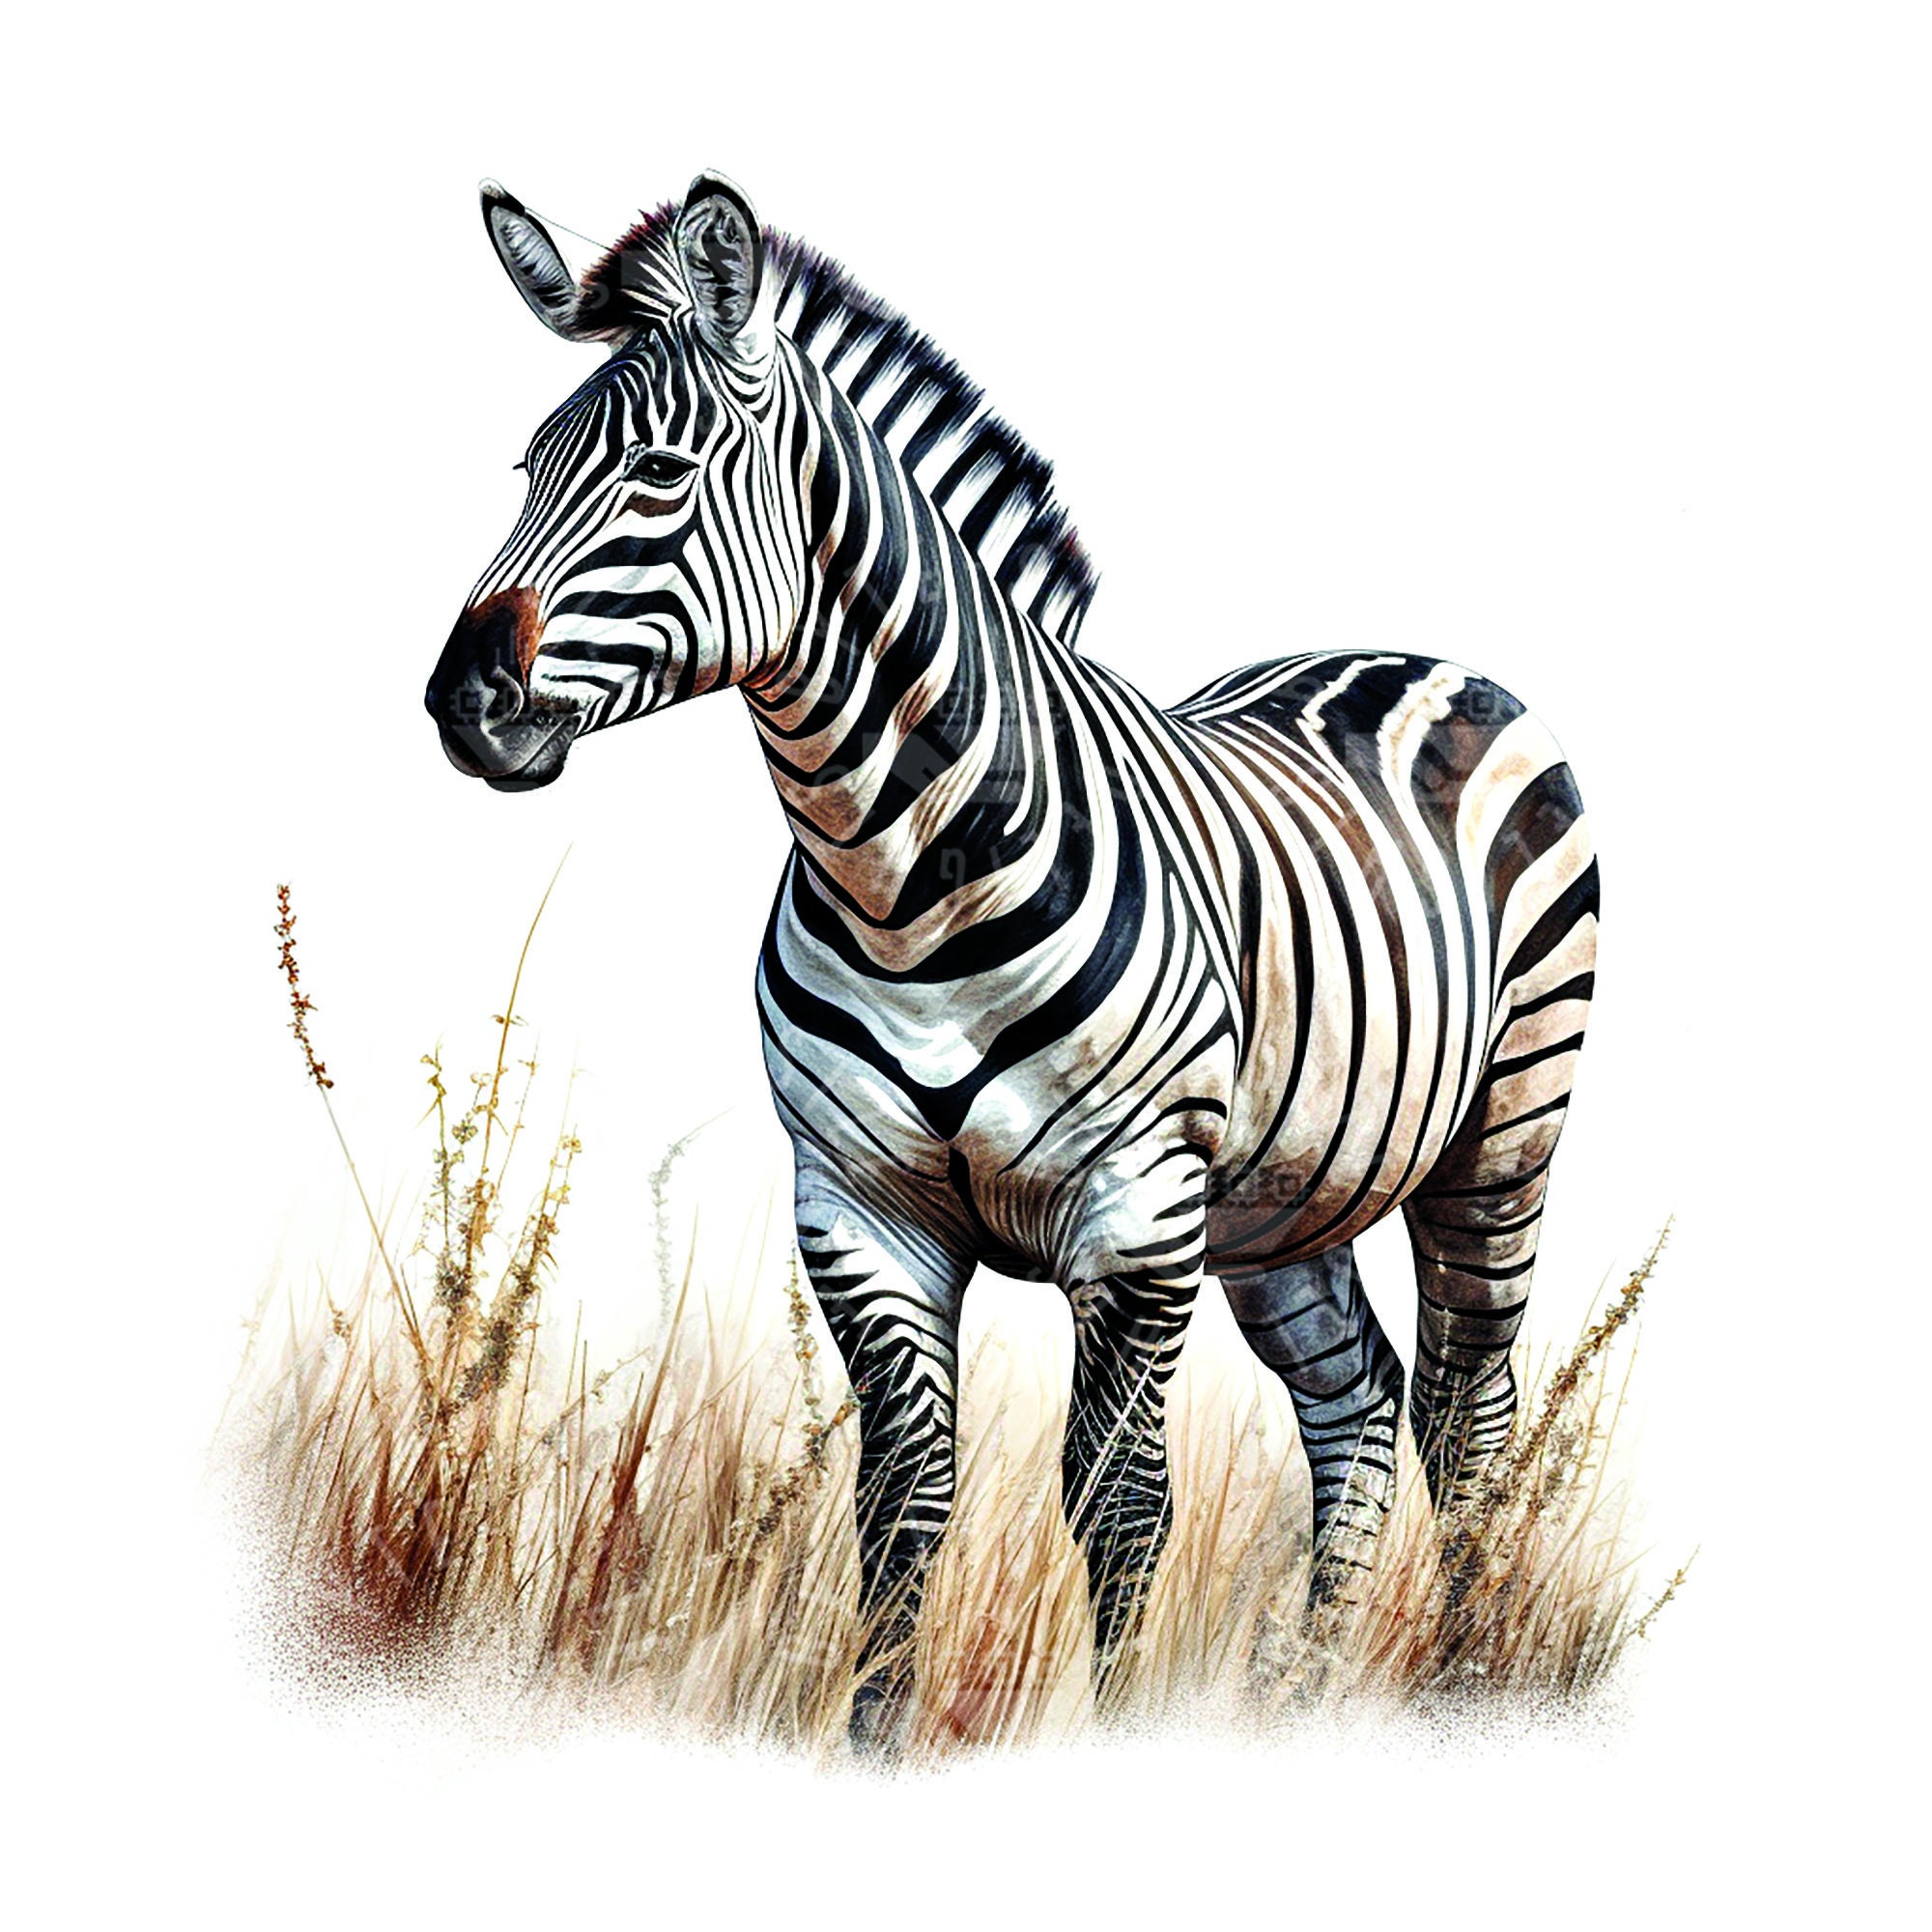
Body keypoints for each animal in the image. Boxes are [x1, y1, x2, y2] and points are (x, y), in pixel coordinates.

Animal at [425, 173, 1599, 1748]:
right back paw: (1297, 1696)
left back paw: (1466, 1695)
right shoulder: (861, 1209)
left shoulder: (1137, 1208)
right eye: (524, 471)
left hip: (1500, 1134)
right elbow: (902, 1497)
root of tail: (1409, 651)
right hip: (1283, 1197)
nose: (459, 700)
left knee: (1469, 1424)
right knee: (1353, 1409)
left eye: (661, 472)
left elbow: (1118, 1500)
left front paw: (1105, 1738)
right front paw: (871, 1738)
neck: (899, 878)